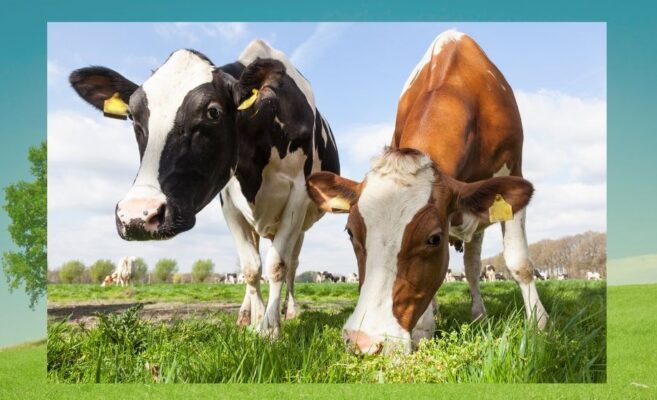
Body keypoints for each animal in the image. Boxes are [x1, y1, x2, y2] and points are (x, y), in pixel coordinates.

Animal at [69, 40, 340, 337]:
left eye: (213, 111)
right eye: (132, 116)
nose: (137, 215)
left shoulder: (297, 196)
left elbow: (278, 265)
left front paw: (269, 329)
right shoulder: (229, 202)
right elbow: (250, 268)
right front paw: (256, 322)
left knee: (292, 264)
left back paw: (288, 311)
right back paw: (245, 314)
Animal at [307, 30, 547, 354]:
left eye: (433, 238)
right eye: (350, 232)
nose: (364, 341)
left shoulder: (514, 170)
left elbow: (519, 262)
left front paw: (539, 325)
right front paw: (423, 329)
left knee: (472, 266)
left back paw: (479, 314)